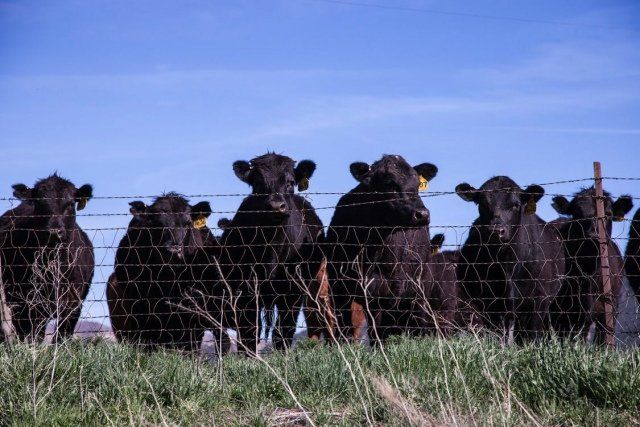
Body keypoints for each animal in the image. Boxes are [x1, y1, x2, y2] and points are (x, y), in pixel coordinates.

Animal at [0, 174, 94, 343]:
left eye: (71, 203)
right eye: (39, 203)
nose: (54, 231)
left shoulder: (73, 304)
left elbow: (62, 335)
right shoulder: (24, 302)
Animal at [217, 153, 325, 353]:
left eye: (290, 182)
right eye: (257, 183)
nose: (276, 205)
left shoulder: (292, 293)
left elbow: (283, 333)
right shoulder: (246, 292)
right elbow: (249, 333)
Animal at [326, 154, 451, 345]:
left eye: (417, 185)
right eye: (389, 184)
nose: (422, 214)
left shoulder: (386, 291)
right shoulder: (340, 287)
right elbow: (348, 329)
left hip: (418, 289)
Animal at [455, 176, 565, 343]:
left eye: (515, 205)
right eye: (482, 204)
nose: (496, 231)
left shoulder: (539, 301)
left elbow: (532, 335)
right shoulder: (489, 302)